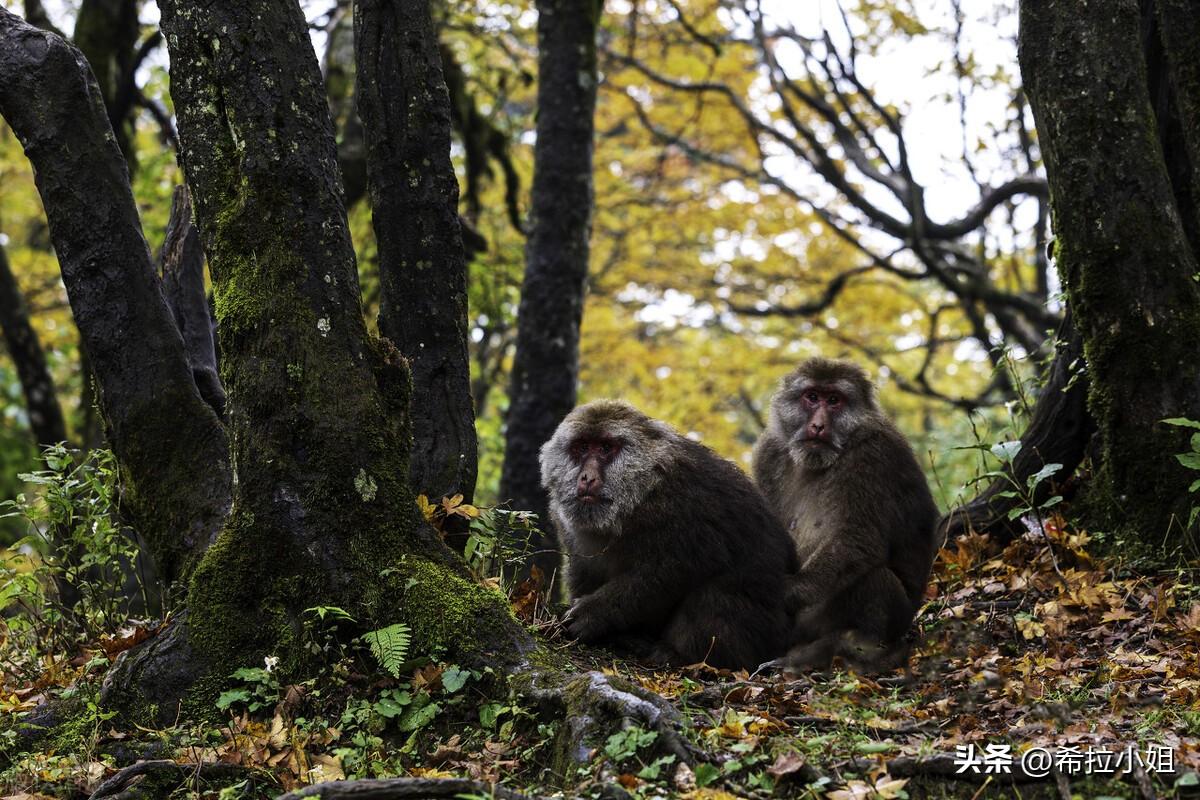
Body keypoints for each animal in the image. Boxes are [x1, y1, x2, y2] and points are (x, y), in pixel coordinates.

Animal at [542, 400, 801, 671]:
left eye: (605, 448)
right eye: (582, 447)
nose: (586, 477)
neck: (636, 497)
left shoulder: (680, 501)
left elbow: (677, 569)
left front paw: (593, 614)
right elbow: (583, 569)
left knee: (714, 590)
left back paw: (680, 655)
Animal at [753, 359, 940, 671]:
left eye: (834, 400)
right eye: (812, 396)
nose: (818, 425)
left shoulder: (873, 455)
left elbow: (859, 538)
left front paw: (785, 590)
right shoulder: (768, 453)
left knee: (871, 577)